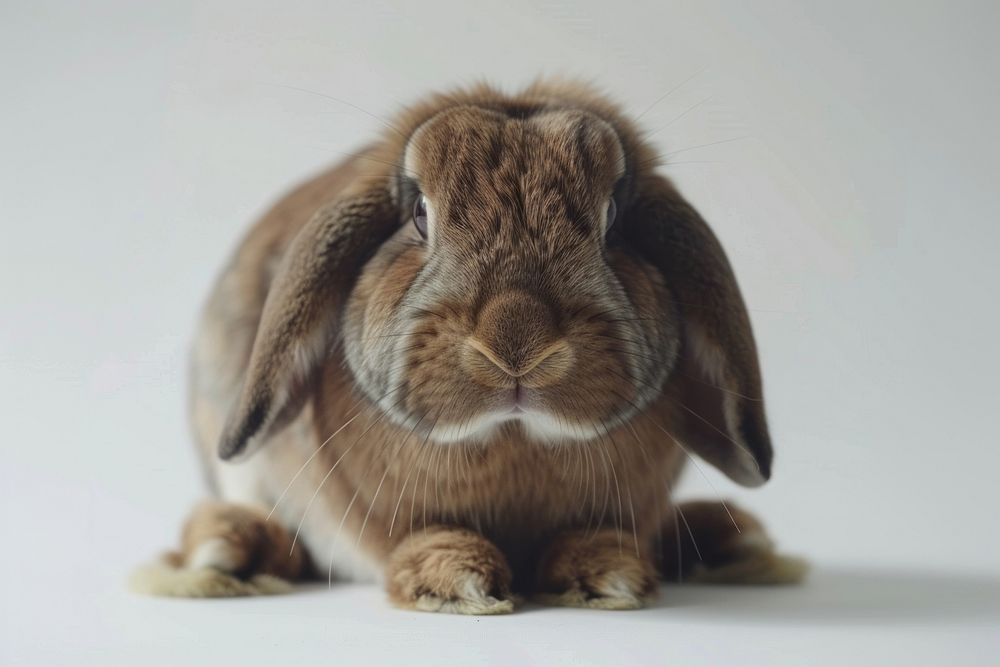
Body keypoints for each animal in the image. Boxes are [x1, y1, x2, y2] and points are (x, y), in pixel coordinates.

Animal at [130, 80, 806, 613]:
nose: (516, 345)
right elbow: (426, 536)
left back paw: (728, 539)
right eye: (419, 215)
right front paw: (455, 580)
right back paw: (227, 553)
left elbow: (595, 538)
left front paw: (608, 574)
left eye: (614, 217)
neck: (515, 439)